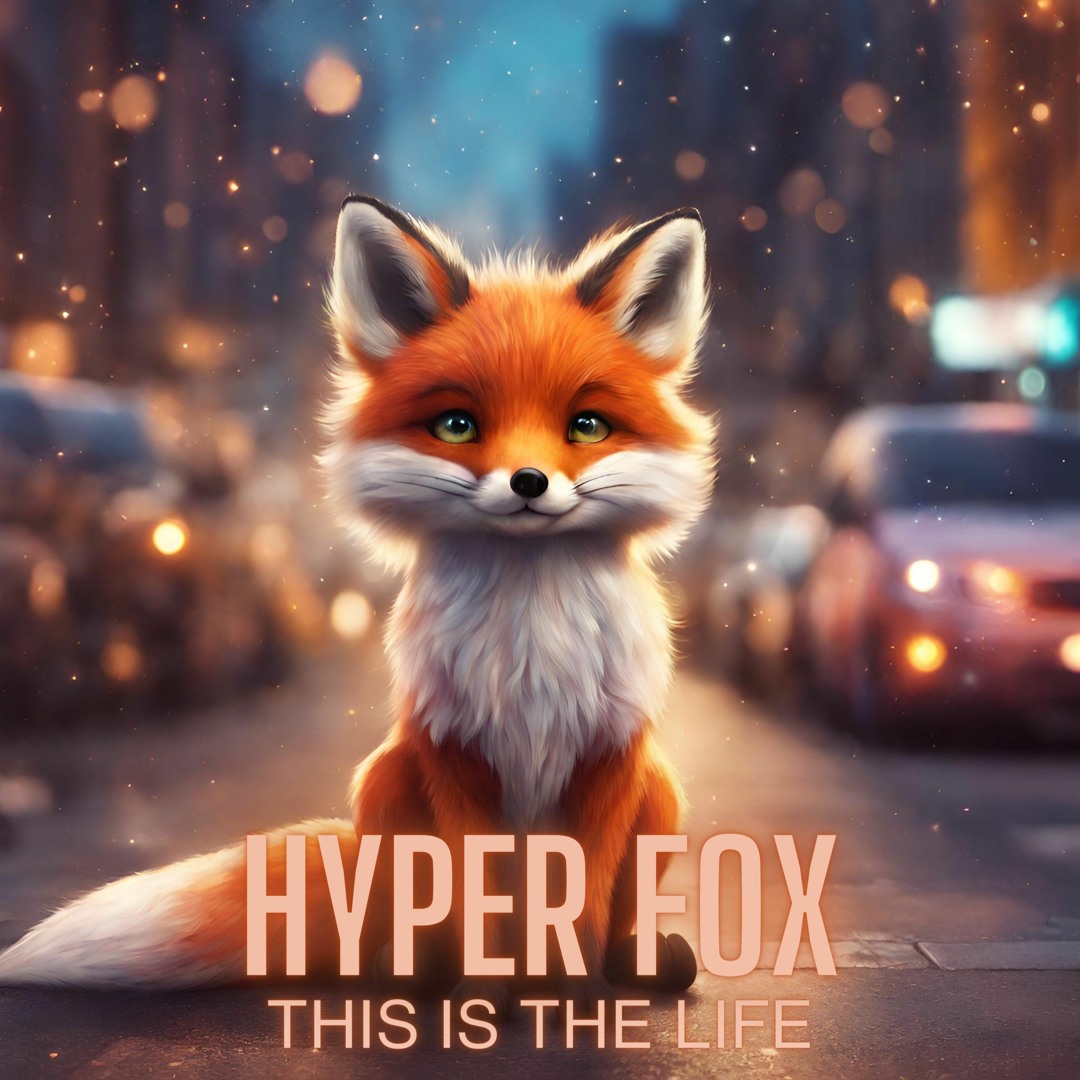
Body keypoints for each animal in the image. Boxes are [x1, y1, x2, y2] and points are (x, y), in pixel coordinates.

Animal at [0, 196, 715, 1012]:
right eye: (457, 425)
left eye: (587, 425)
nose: (529, 482)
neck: (532, 639)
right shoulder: (450, 752)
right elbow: (474, 893)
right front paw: (482, 991)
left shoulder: (608, 757)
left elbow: (587, 898)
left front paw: (580, 994)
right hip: (387, 782)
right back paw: (417, 966)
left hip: (659, 792)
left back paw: (642, 963)